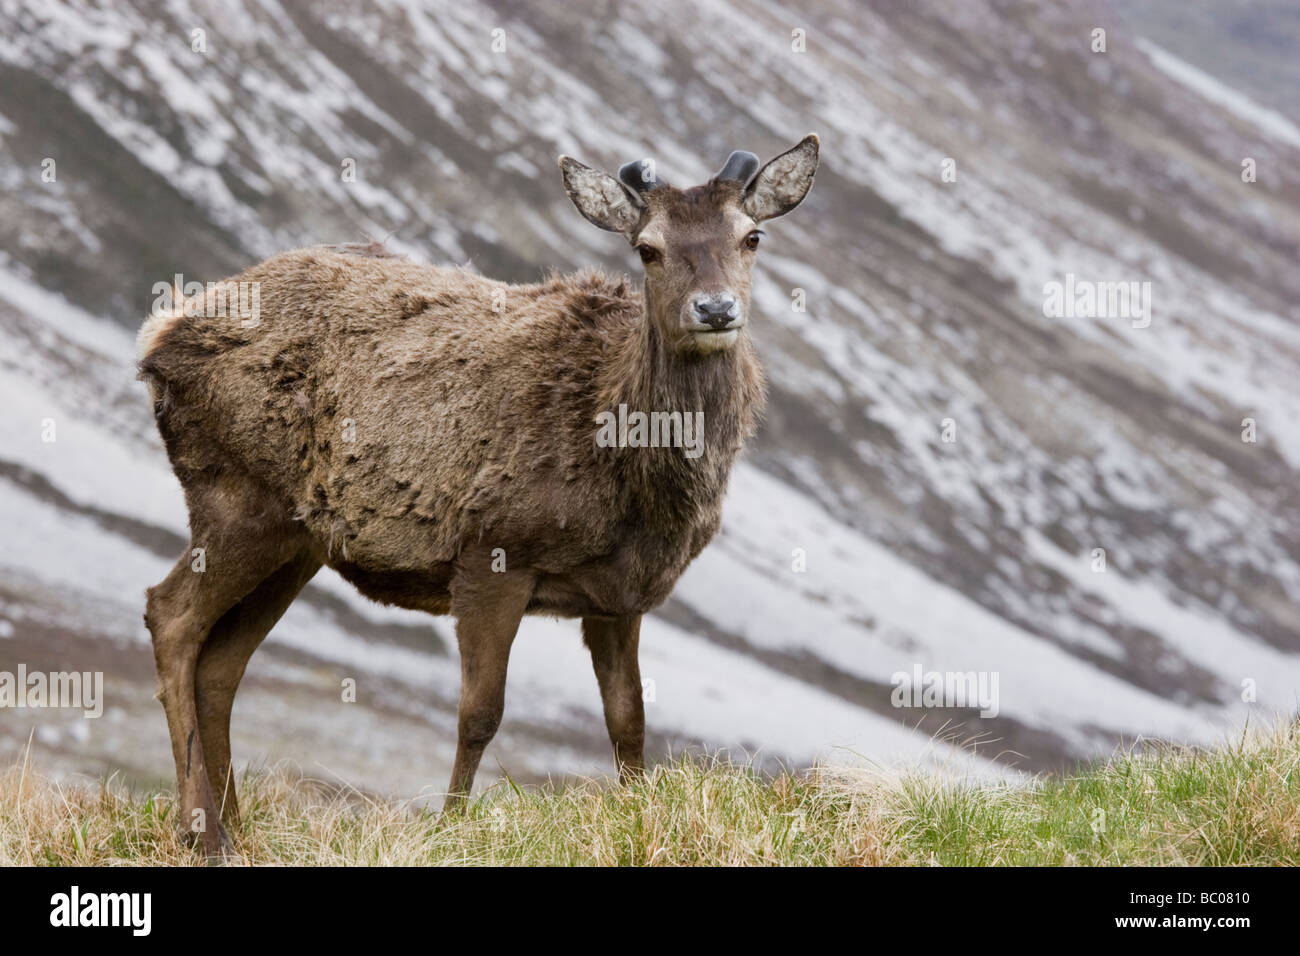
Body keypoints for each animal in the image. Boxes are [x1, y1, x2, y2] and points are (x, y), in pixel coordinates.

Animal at [136, 135, 820, 854]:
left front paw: (640, 815)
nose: (715, 309)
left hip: (299, 543)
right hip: (237, 497)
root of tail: (162, 331)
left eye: (752, 236)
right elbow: (479, 713)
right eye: (647, 248)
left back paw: (236, 829)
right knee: (172, 617)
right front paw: (449, 827)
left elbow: (628, 720)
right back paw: (201, 832)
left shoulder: (621, 596)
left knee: (221, 664)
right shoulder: (493, 552)